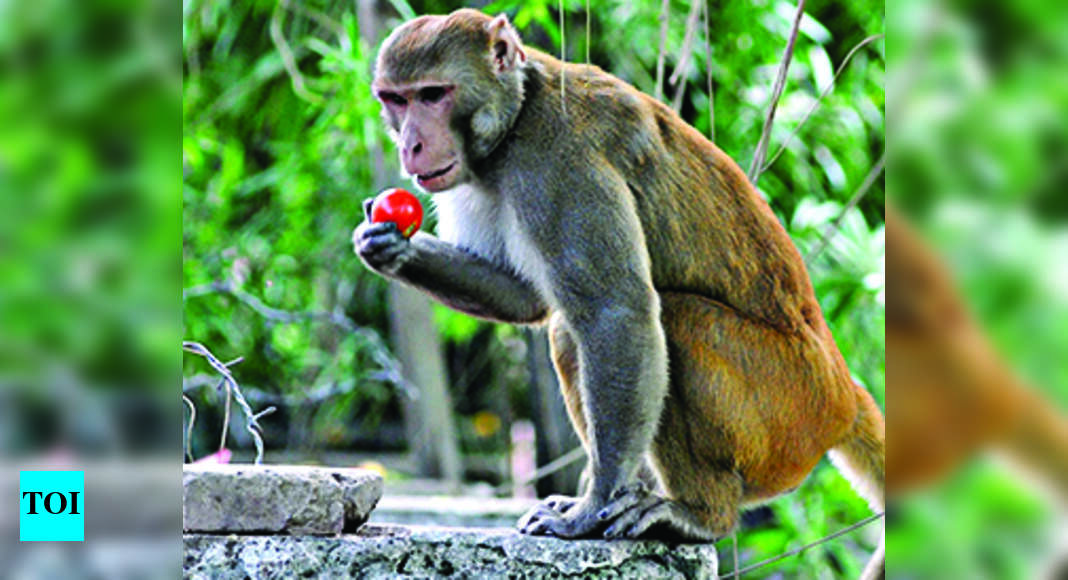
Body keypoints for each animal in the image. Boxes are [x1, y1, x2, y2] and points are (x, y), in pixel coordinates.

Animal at [353, 9, 884, 578]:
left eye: (433, 94)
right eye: (396, 99)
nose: (410, 144)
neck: (516, 118)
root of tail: (844, 394)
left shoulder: (558, 165)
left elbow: (617, 313)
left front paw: (592, 508)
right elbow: (528, 298)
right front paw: (388, 246)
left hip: (787, 414)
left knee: (674, 321)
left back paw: (697, 514)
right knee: (567, 333)